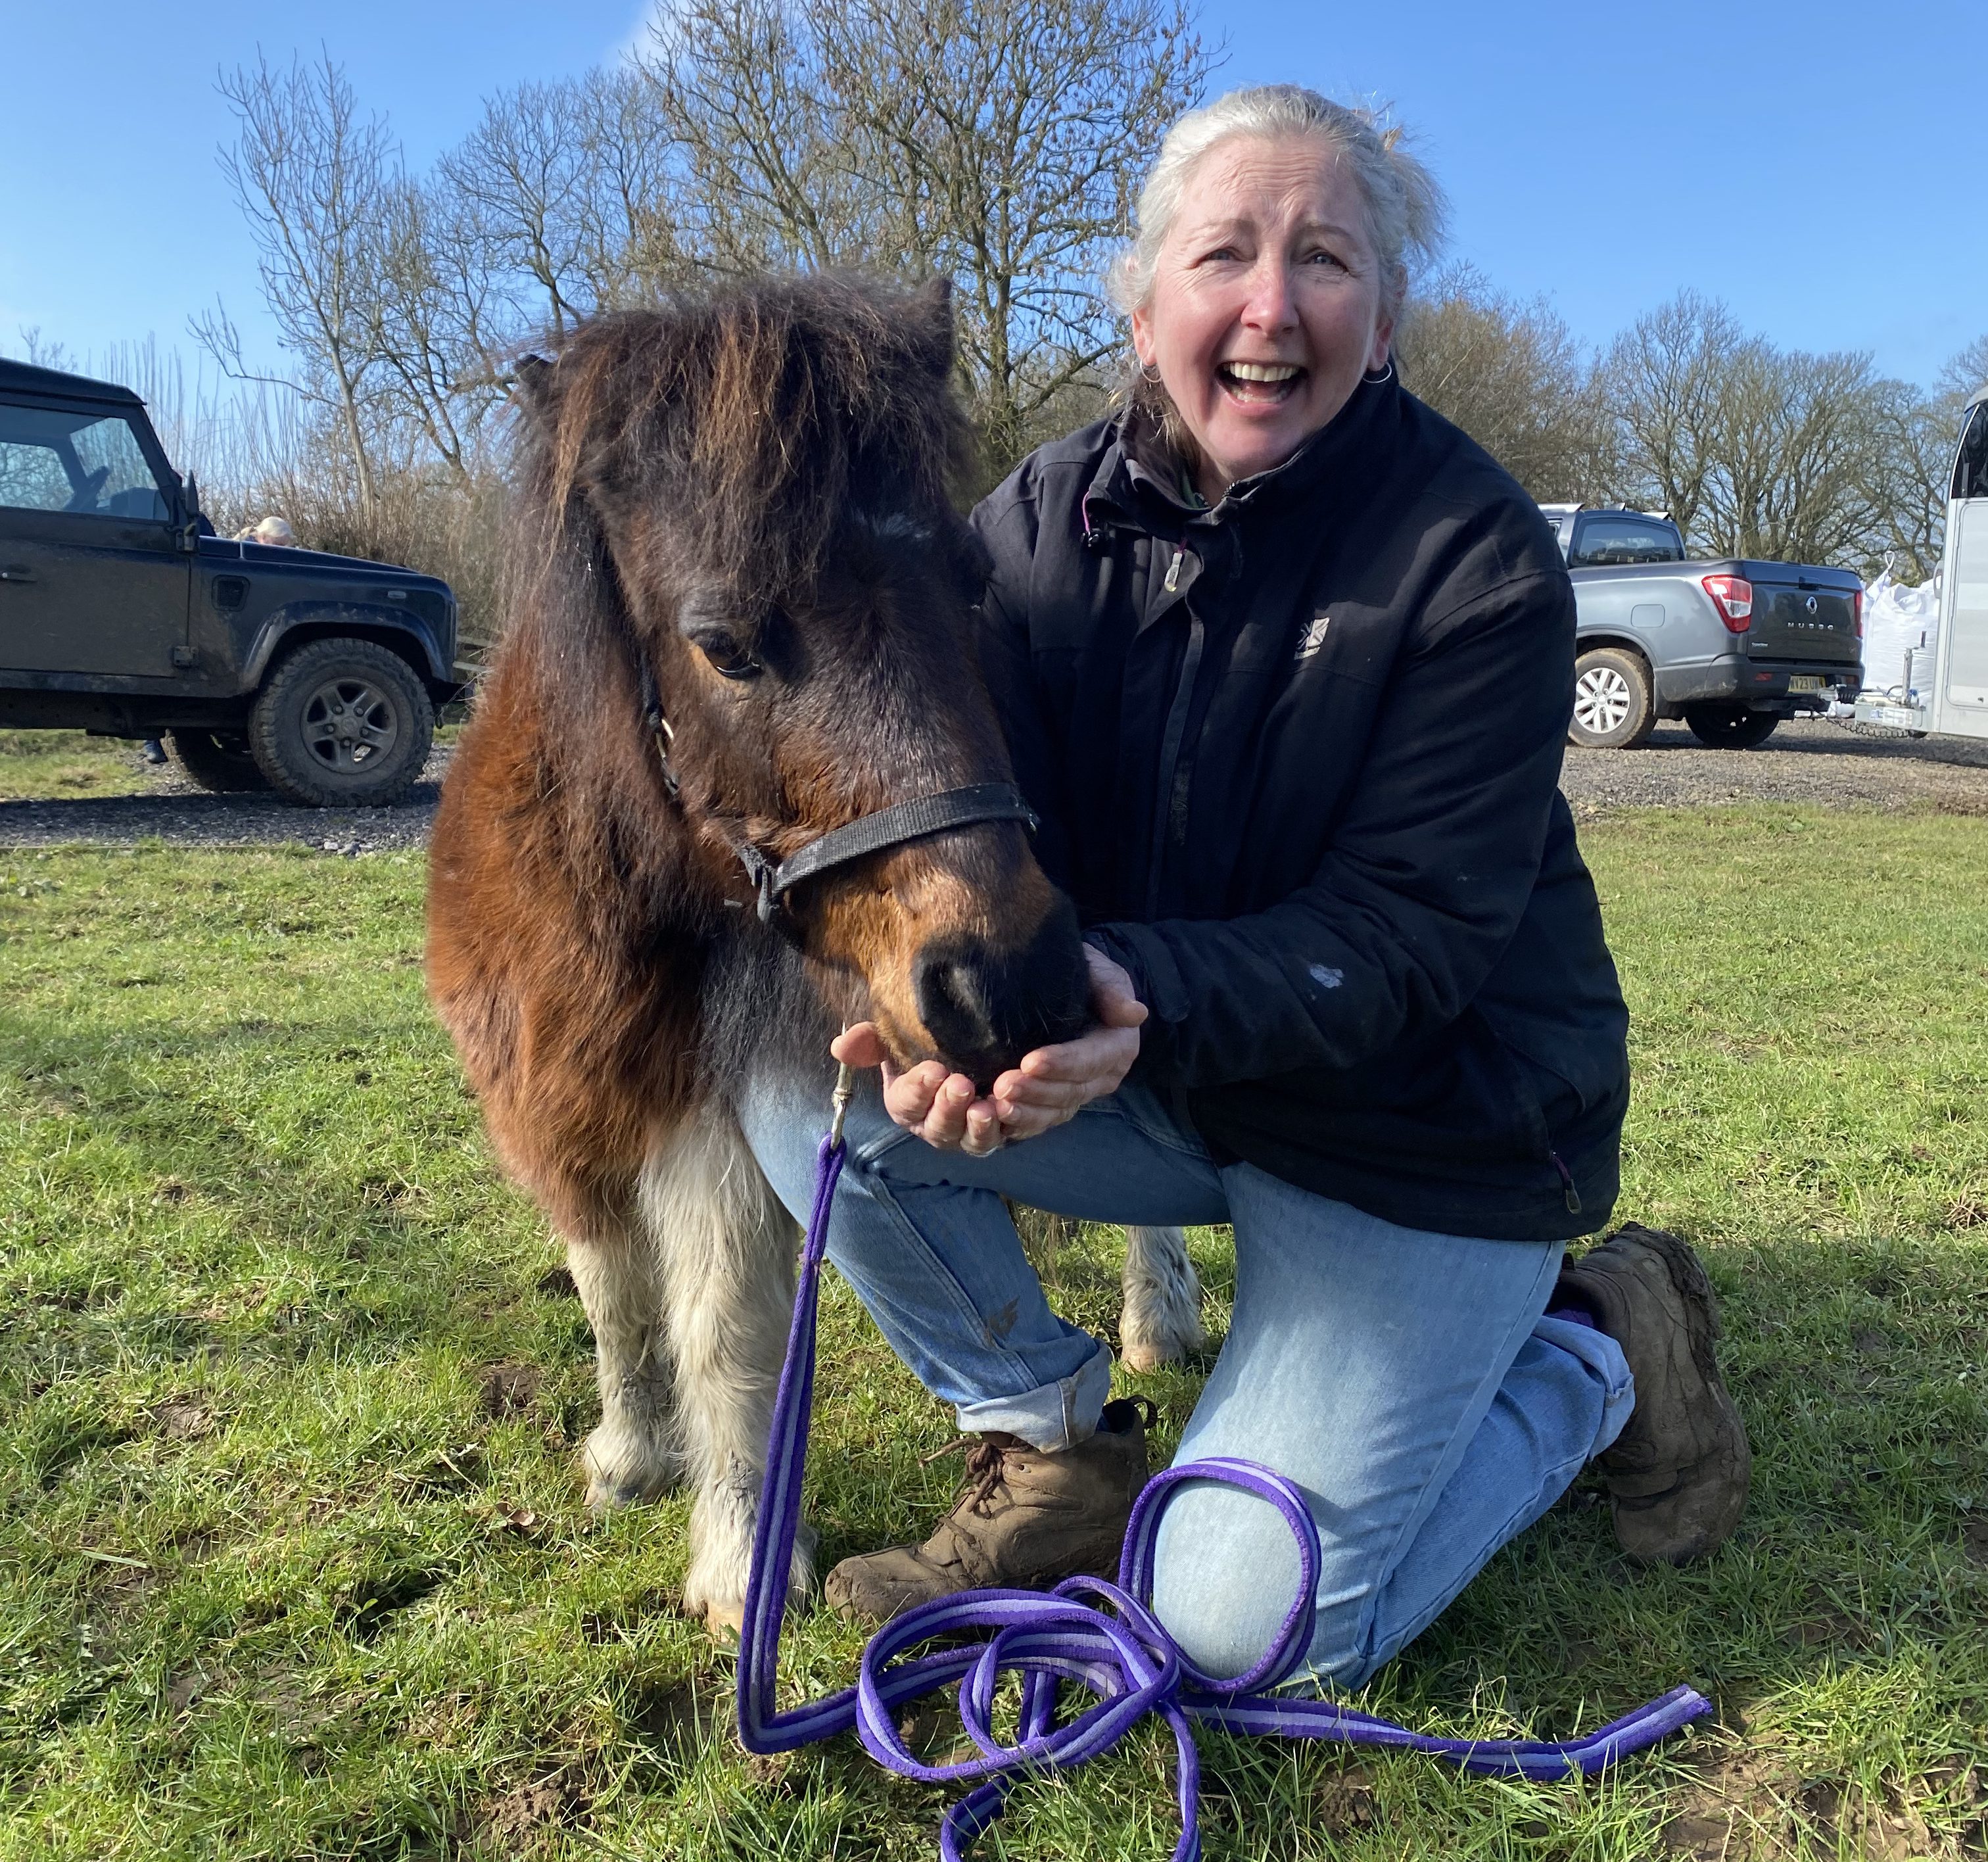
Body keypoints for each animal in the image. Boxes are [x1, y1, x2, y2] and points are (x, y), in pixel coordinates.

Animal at [425, 274, 1205, 1633]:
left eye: (966, 588)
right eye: (724, 641)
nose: (1003, 984)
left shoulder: (723, 1120)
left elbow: (723, 1328)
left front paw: (742, 1558)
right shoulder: (554, 1101)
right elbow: (608, 1291)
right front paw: (629, 1455)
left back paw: (1157, 1315)